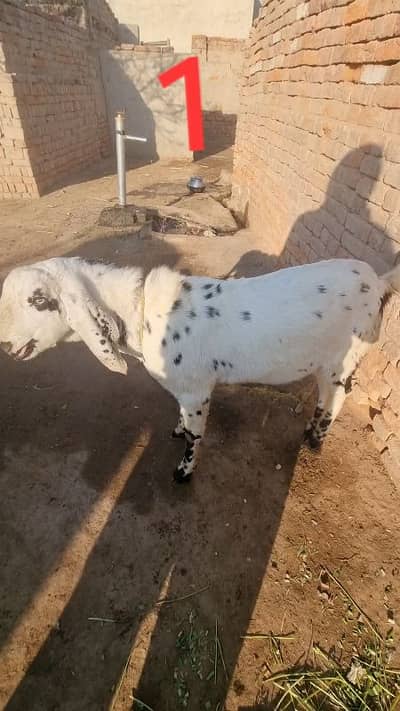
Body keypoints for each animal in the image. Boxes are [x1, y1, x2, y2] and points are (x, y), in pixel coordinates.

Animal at [0, 256, 398, 482]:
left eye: (39, 301)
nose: (4, 345)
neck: (141, 311)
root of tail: (379, 282)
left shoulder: (196, 390)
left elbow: (195, 435)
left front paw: (183, 472)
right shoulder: (184, 389)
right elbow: (182, 421)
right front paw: (176, 430)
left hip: (342, 359)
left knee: (334, 399)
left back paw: (314, 440)